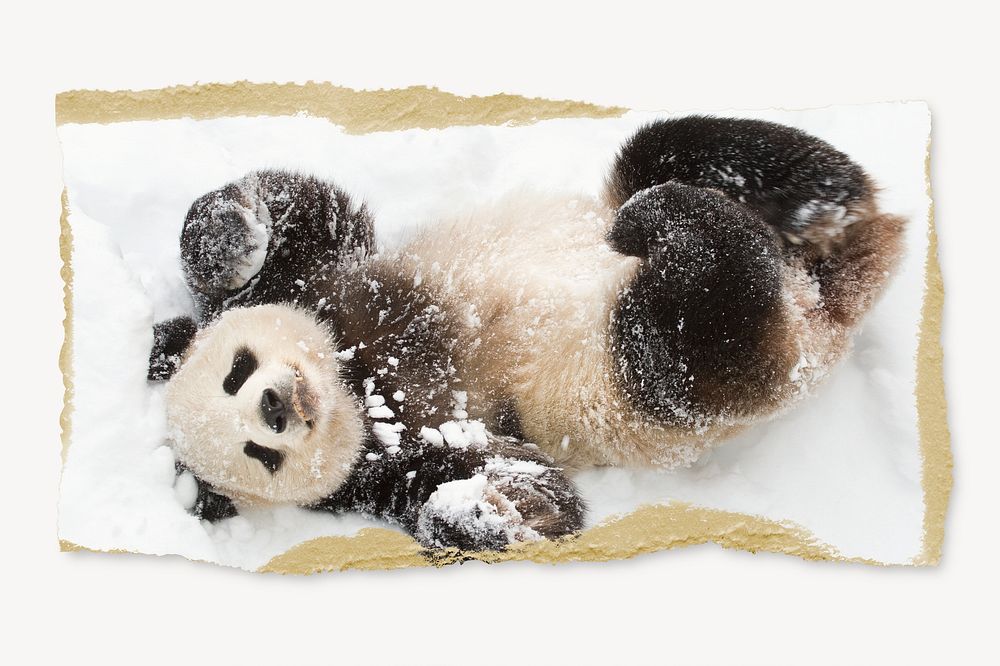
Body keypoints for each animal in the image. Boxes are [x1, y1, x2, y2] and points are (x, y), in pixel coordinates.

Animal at [149, 116, 907, 552]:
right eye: (258, 453)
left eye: (237, 372)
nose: (278, 406)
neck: (359, 380)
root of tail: (821, 294)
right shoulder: (391, 460)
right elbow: (524, 487)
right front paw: (480, 514)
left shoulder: (322, 284)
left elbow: (304, 212)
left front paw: (227, 237)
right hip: (662, 375)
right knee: (689, 339)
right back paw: (688, 229)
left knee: (674, 148)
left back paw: (808, 201)